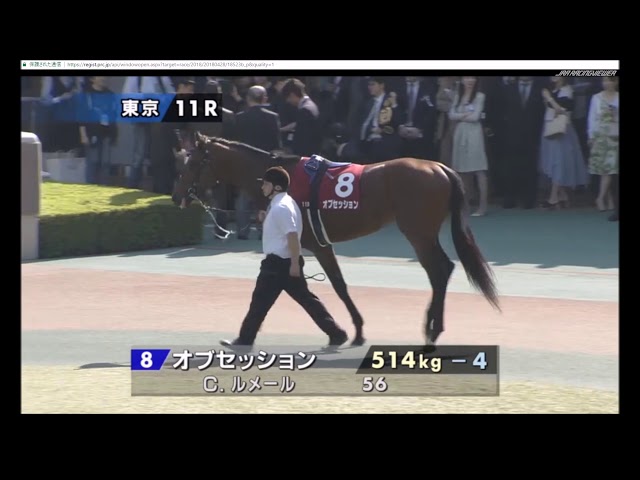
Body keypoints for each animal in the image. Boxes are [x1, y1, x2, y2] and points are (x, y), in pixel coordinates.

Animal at [172, 132, 500, 347]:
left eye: (193, 163)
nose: (177, 197)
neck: (284, 181)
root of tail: (440, 168)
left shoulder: (317, 244)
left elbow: (338, 286)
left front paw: (356, 331)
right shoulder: (312, 246)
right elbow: (310, 286)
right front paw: (346, 330)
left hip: (418, 232)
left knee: (439, 270)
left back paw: (432, 329)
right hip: (424, 232)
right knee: (442, 269)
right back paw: (433, 327)